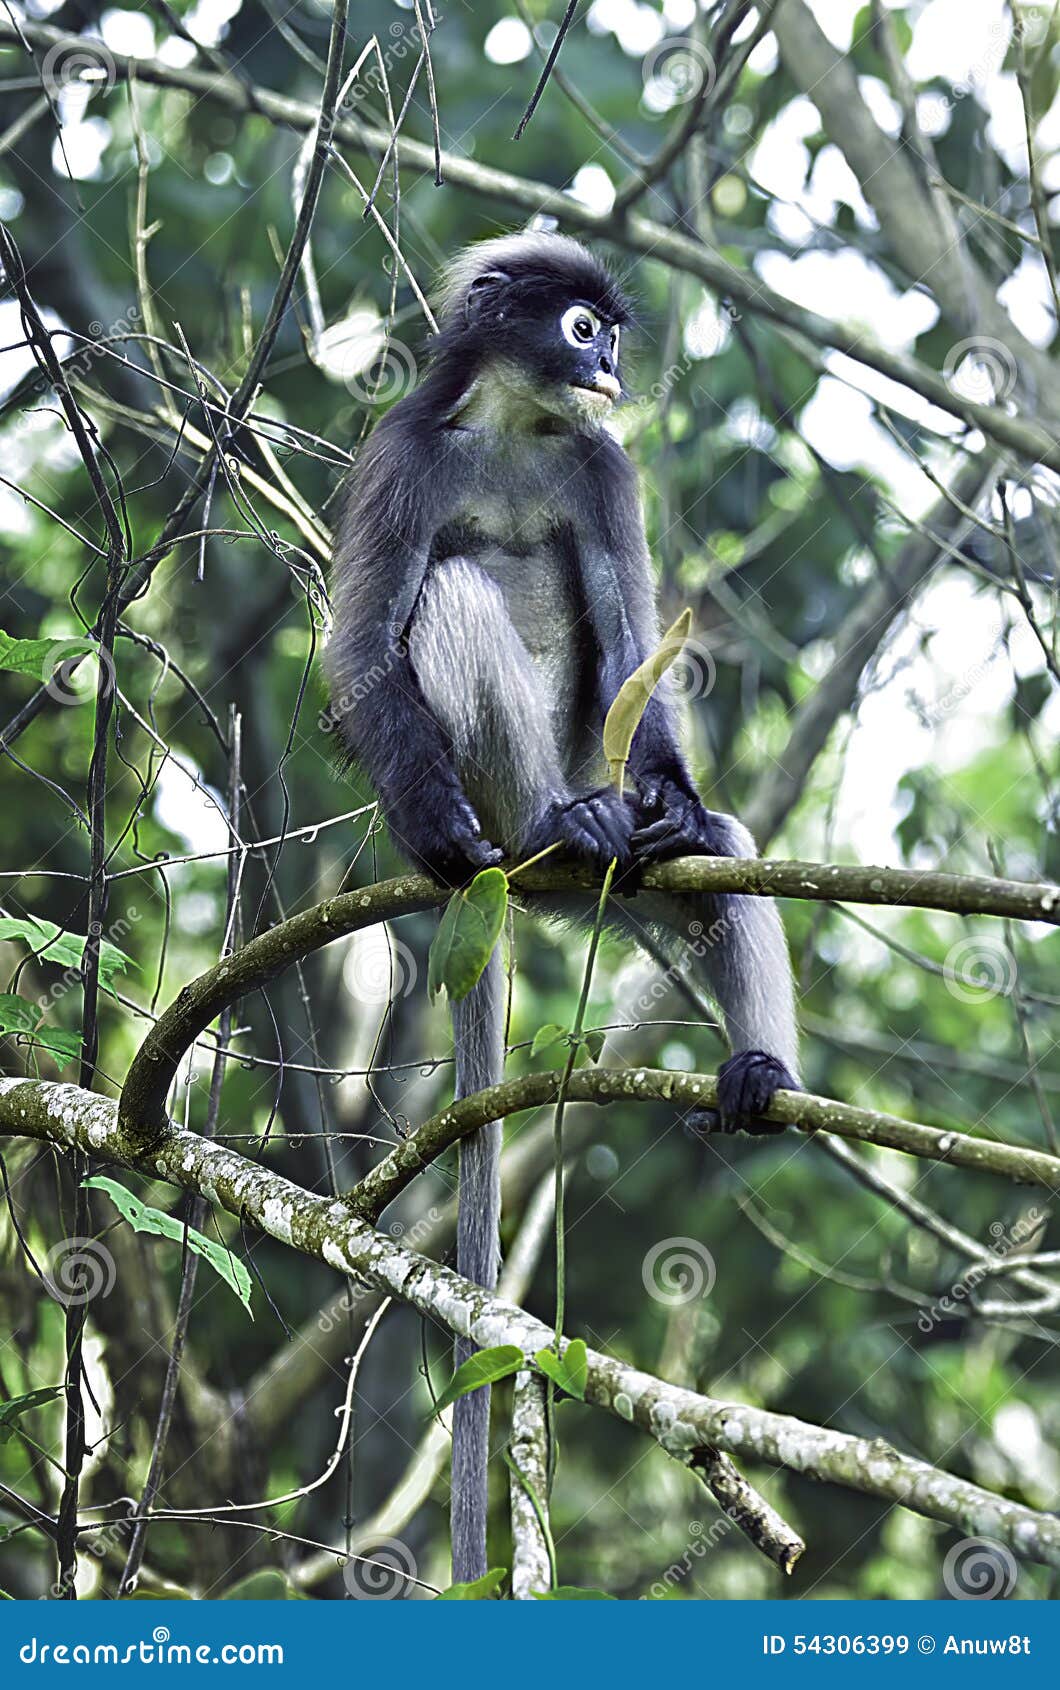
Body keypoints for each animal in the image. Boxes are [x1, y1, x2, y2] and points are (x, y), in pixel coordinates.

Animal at [324, 232, 800, 1582]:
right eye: (583, 327)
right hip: (509, 798)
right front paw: (429, 833)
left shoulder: (601, 464)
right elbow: (363, 650)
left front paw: (681, 805)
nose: (614, 364)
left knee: (720, 854)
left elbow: (641, 639)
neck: (518, 427)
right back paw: (545, 827)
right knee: (453, 593)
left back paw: (752, 1061)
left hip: (610, 774)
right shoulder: (404, 452)